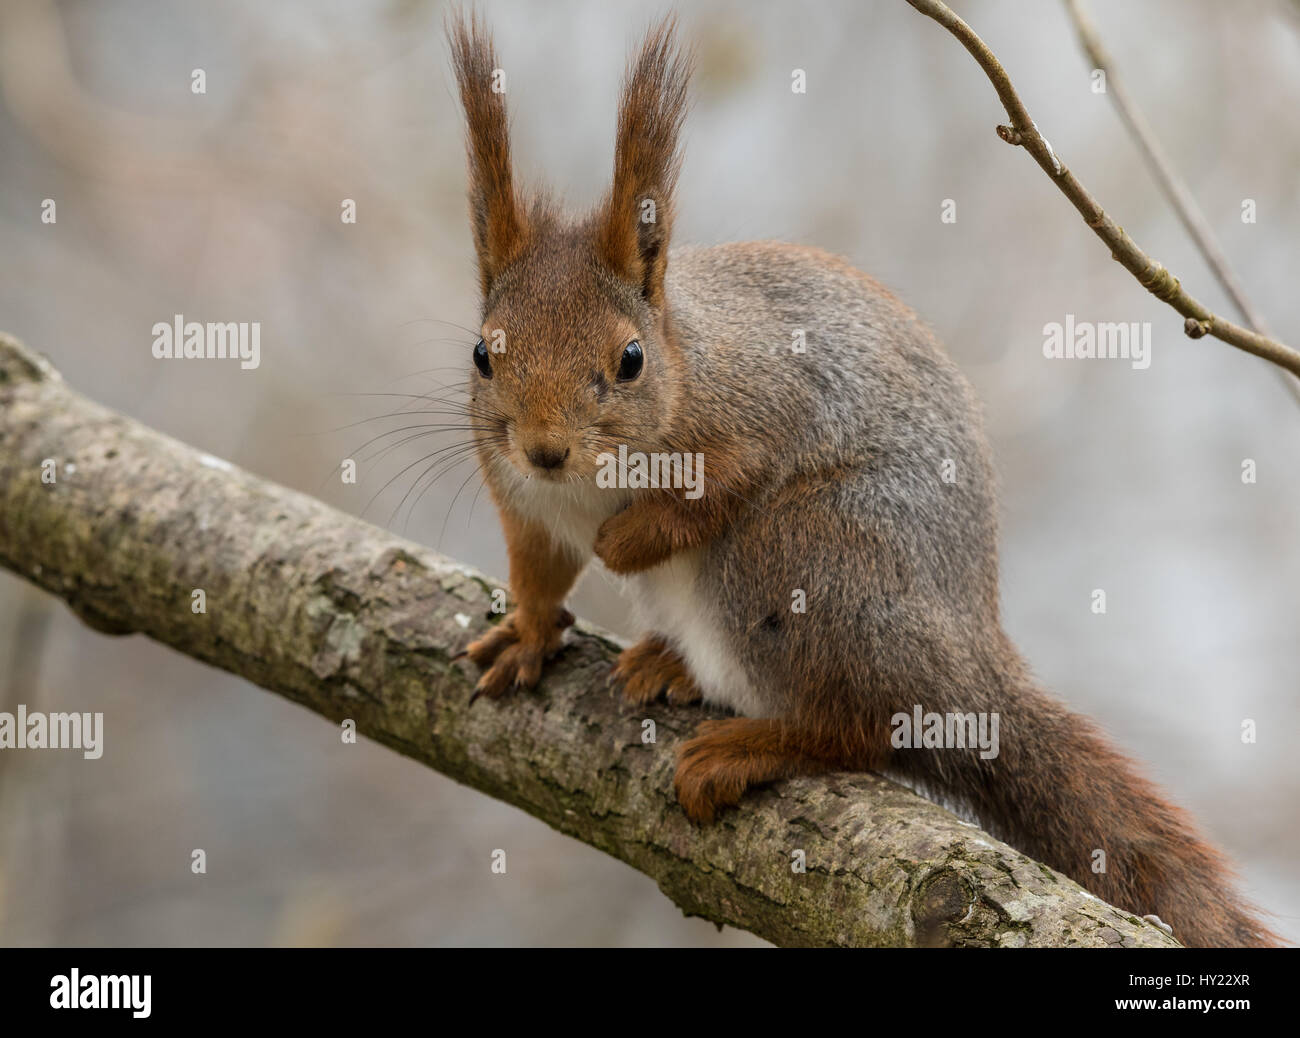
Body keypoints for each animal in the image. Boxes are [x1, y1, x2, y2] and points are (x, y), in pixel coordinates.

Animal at [447, 13, 1279, 948]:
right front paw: (525, 632)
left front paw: (626, 539)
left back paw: (756, 744)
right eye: (482, 353)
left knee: (863, 726)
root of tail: (968, 670)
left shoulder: (757, 409)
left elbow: (720, 488)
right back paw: (672, 664)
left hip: (803, 556)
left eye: (630, 359)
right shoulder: (518, 495)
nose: (545, 449)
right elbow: (536, 568)